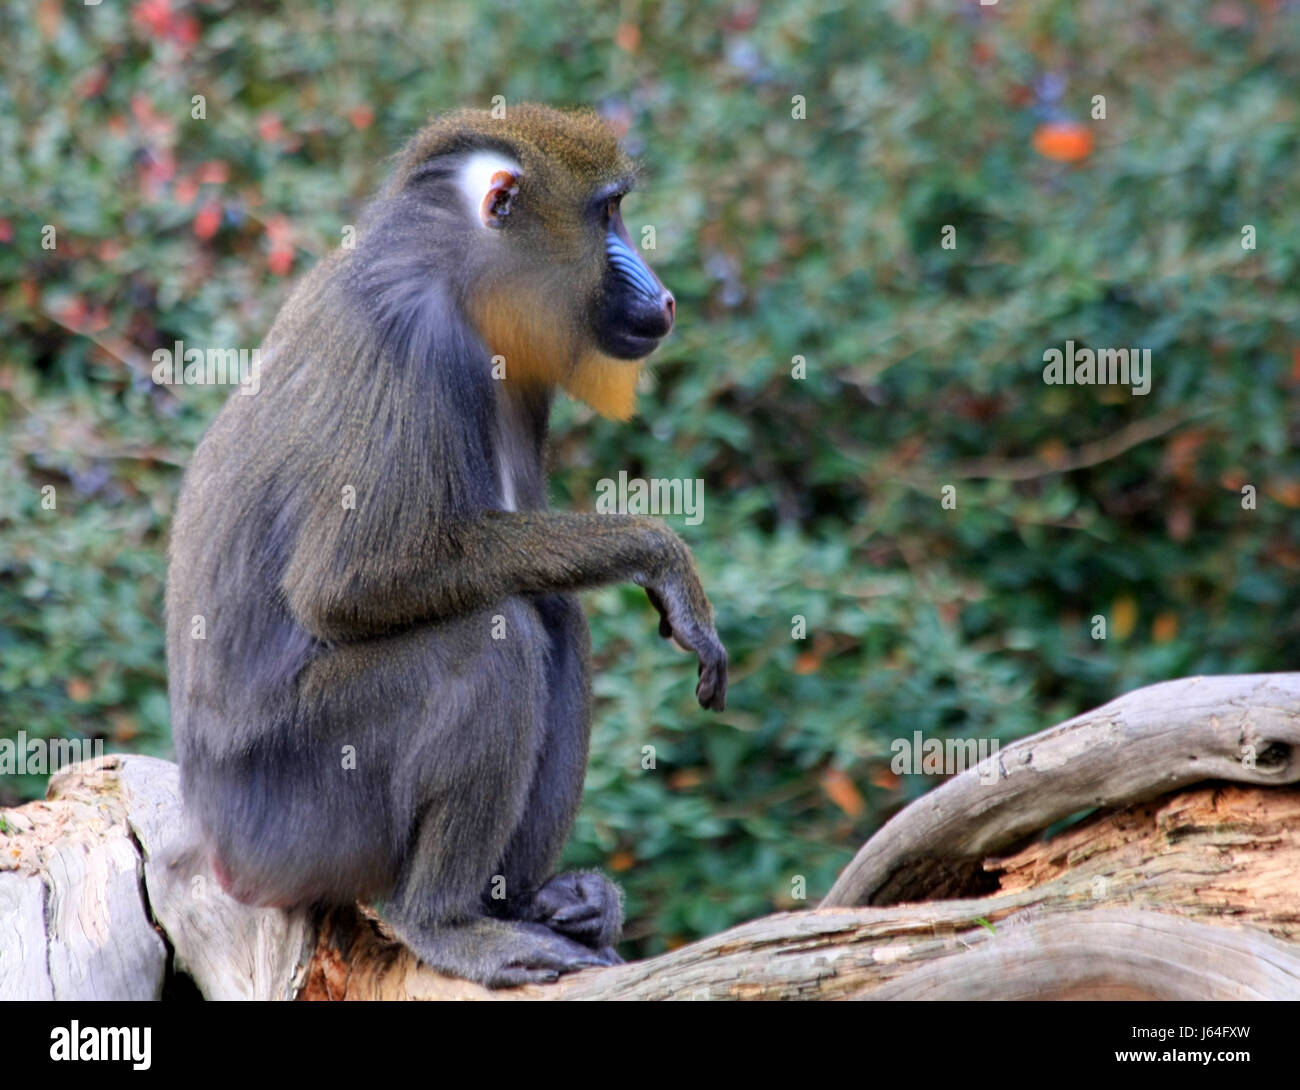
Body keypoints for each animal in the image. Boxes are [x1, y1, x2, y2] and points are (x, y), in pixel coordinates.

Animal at [165, 104, 727, 987]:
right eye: (606, 212)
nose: (662, 295)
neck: (457, 275)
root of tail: (214, 850)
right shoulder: (413, 340)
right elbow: (346, 583)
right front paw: (658, 552)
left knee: (552, 614)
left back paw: (531, 900)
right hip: (300, 820)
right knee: (490, 642)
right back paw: (443, 920)